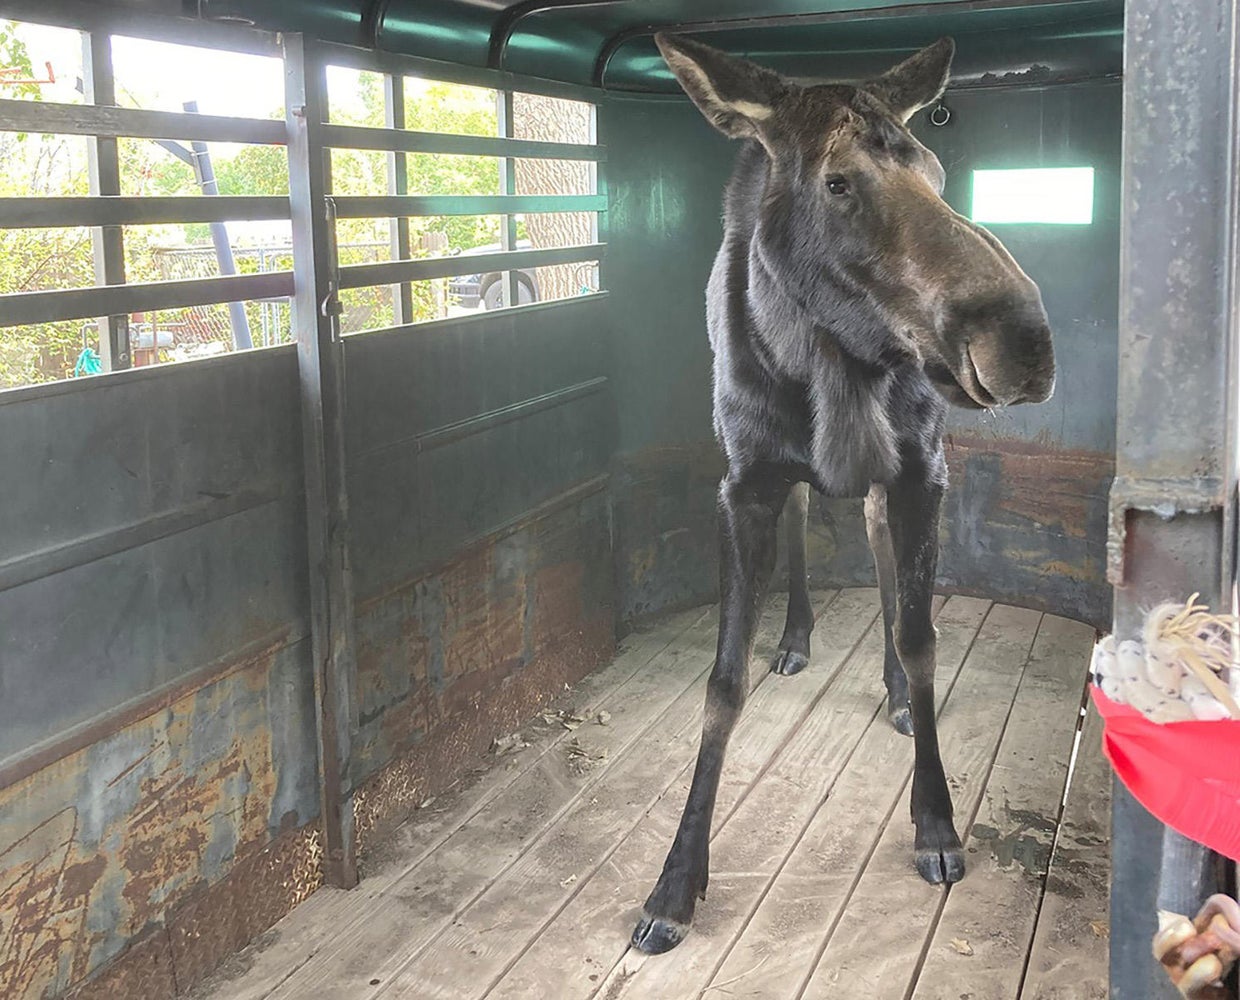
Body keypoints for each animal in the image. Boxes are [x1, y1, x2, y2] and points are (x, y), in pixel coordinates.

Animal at [632, 33, 1056, 954]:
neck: (828, 365)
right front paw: (674, 885)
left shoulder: (923, 468)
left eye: (936, 171)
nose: (1025, 342)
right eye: (838, 182)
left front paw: (936, 824)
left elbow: (920, 638)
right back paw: (794, 637)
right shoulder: (743, 482)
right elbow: (722, 684)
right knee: (807, 518)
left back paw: (889, 691)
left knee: (875, 549)